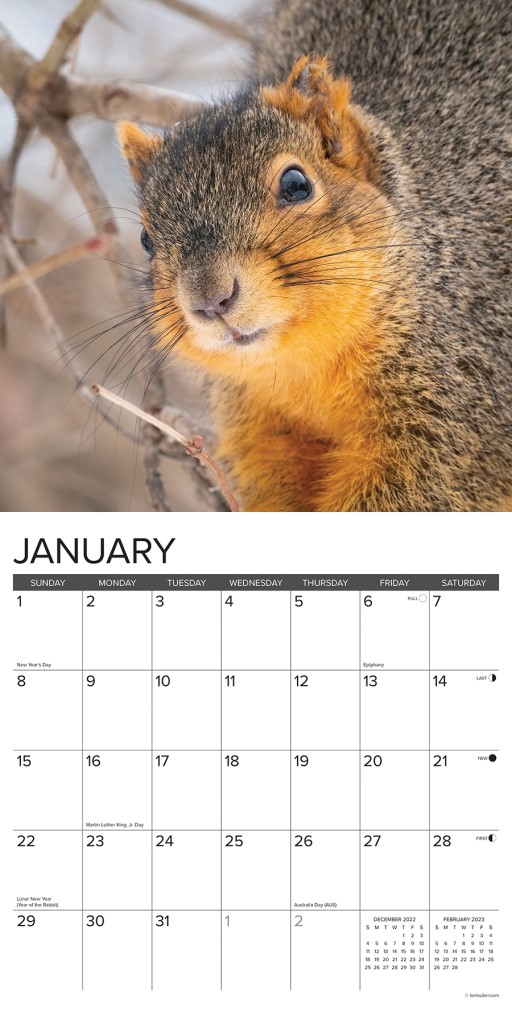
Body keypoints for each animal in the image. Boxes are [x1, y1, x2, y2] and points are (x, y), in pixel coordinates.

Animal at [118, 0, 511, 512]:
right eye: (146, 239)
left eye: (296, 183)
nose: (210, 300)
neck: (303, 365)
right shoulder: (261, 430)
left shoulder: (460, 402)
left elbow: (419, 490)